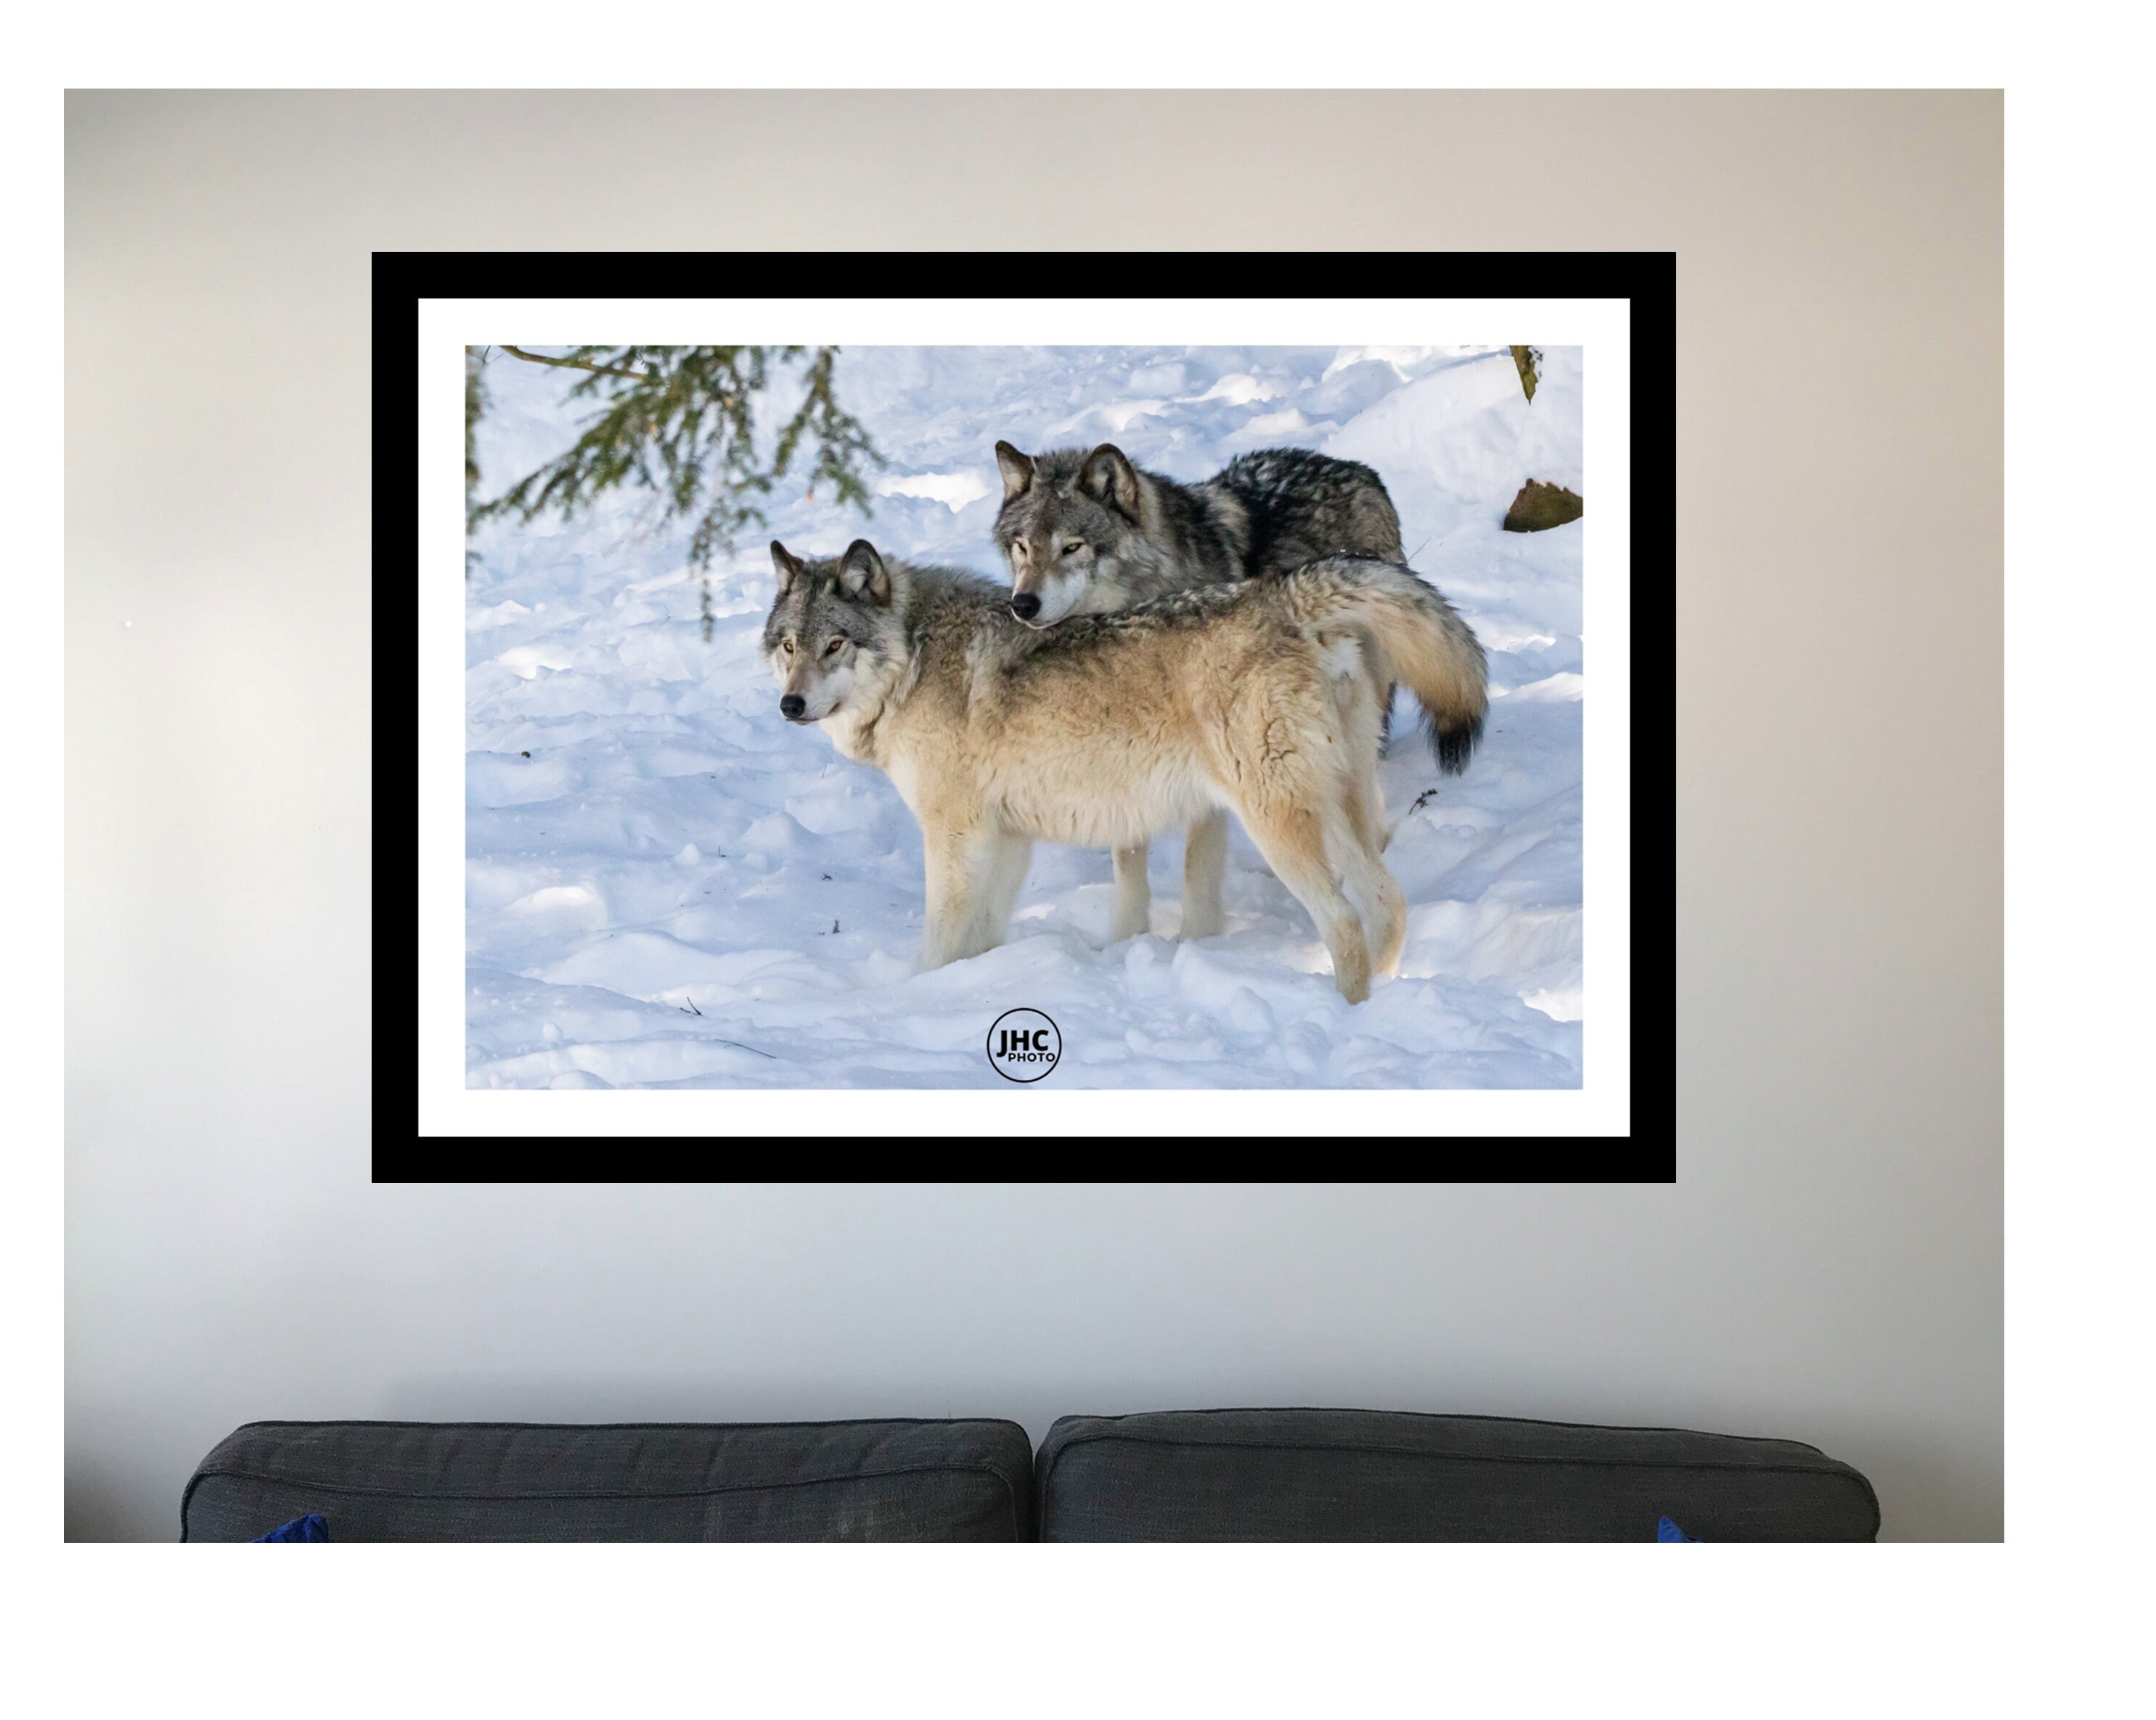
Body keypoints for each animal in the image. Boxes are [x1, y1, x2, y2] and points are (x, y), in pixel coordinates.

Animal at [761, 538, 1488, 1002]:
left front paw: (915, 999)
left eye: (835, 645)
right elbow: (985, 936)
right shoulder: (1008, 840)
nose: (790, 705)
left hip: (1277, 823)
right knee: (1388, 900)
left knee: (1343, 923)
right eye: (790, 647)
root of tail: (1281, 597)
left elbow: (939, 944)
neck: (913, 656)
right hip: (1336, 806)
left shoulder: (955, 837)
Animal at [990, 440, 1424, 941]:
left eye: (1072, 548)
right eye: (1022, 547)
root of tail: (1353, 467)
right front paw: (1127, 940)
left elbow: (1195, 867)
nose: (1022, 604)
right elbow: (1128, 863)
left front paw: (1195, 942)